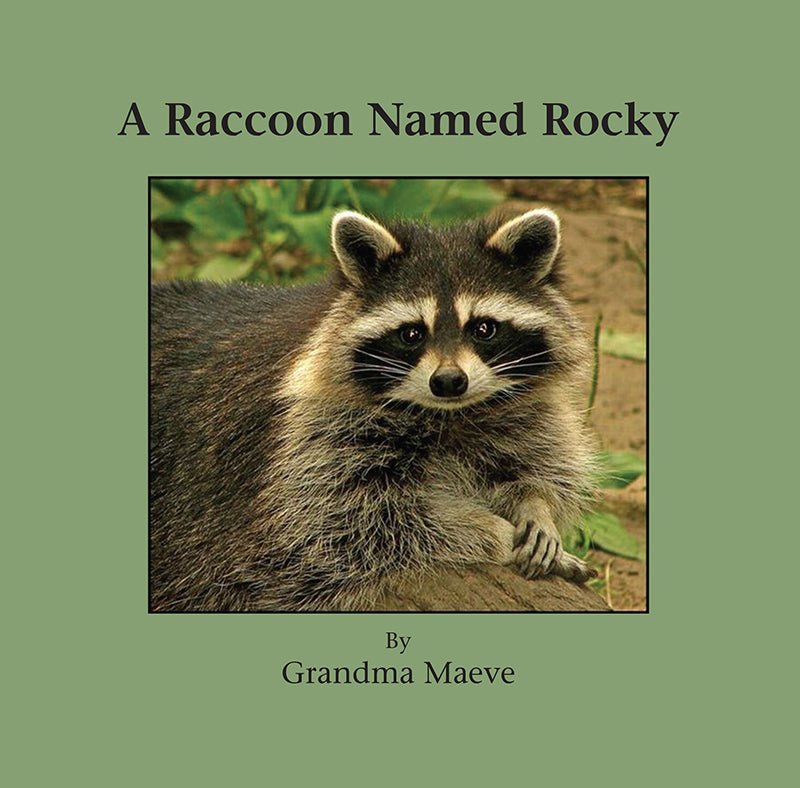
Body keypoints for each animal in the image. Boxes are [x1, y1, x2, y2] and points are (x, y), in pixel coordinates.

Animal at [150, 208, 597, 611]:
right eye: (411, 334)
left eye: (483, 328)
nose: (448, 382)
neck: (447, 414)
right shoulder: (306, 437)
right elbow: (357, 520)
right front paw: (494, 531)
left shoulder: (517, 415)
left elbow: (537, 460)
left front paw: (536, 506)